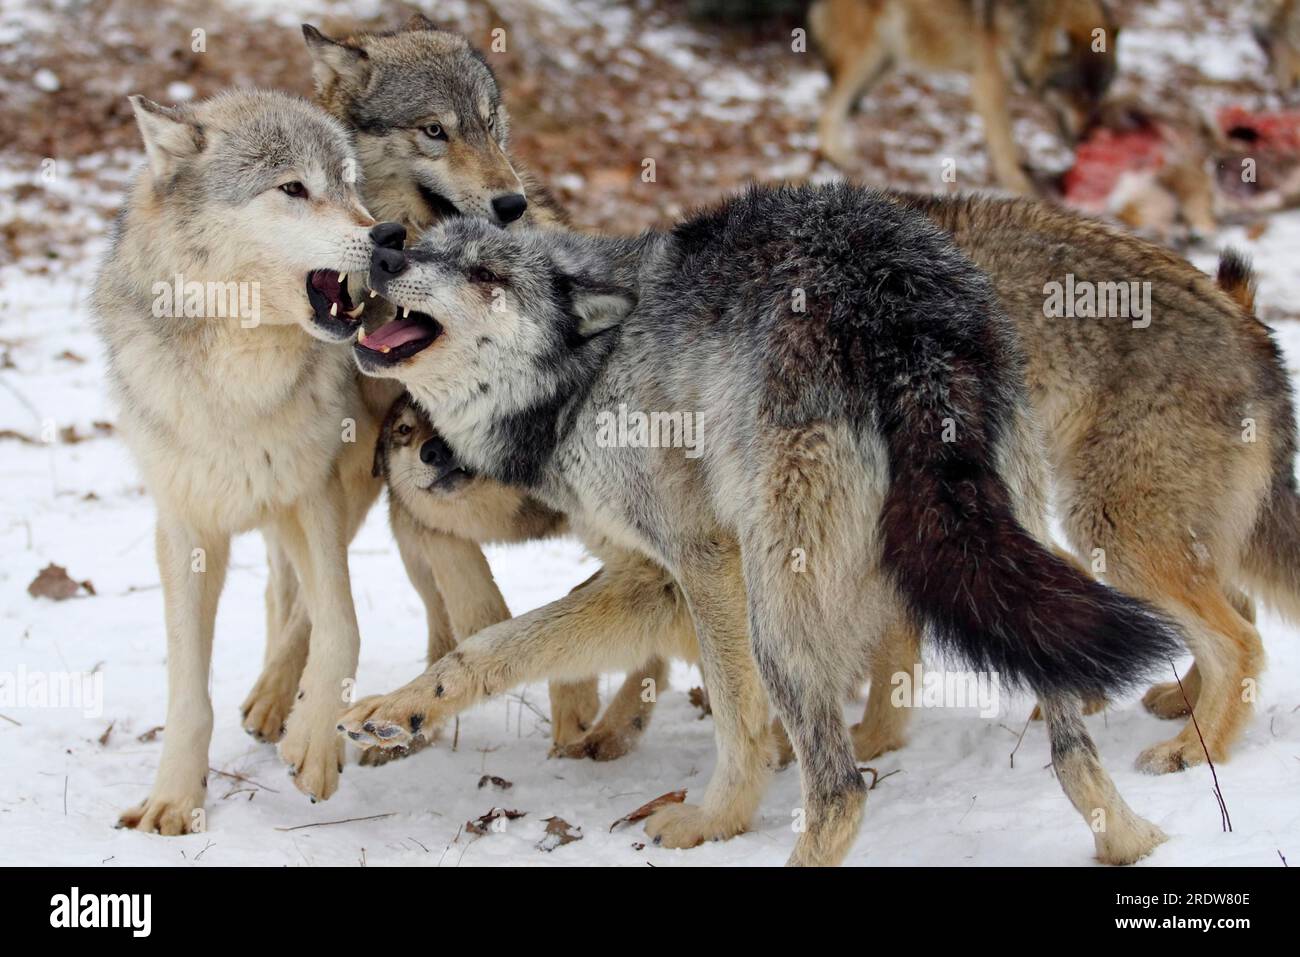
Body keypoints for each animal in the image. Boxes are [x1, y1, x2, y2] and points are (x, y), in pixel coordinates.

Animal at [93, 89, 402, 832]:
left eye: (346, 183)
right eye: (292, 188)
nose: (390, 236)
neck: (242, 382)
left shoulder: (313, 492)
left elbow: (341, 624)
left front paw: (315, 746)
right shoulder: (184, 525)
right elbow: (187, 690)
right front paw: (175, 799)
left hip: (345, 487)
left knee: (301, 606)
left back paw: (285, 706)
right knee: (280, 594)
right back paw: (270, 700)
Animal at [339, 182, 1180, 866]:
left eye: (487, 277)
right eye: (427, 245)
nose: (386, 247)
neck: (586, 377)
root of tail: (906, 317)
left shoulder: (701, 559)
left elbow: (735, 719)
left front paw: (715, 819)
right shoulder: (651, 575)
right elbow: (501, 644)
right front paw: (397, 711)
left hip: (778, 611)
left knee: (840, 786)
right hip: (1016, 559)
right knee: (1070, 743)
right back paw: (1131, 838)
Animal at [811, 0, 1118, 193]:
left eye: (1098, 93)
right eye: (1076, 94)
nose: (1085, 137)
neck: (1033, 15)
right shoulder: (989, 83)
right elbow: (1005, 145)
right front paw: (1020, 186)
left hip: (890, 56)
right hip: (872, 51)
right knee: (831, 103)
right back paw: (837, 153)